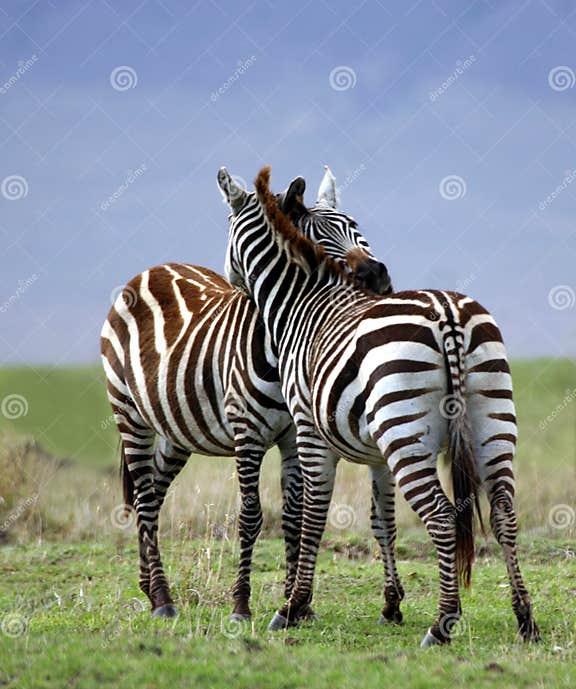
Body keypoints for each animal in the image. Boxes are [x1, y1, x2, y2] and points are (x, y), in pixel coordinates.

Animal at [100, 167, 391, 621]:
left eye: (355, 228)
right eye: (315, 237)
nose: (377, 276)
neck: (275, 341)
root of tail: (153, 269)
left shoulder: (293, 434)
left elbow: (293, 514)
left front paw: (297, 605)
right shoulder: (248, 434)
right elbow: (251, 515)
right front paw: (241, 603)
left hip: (176, 430)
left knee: (155, 492)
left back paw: (148, 587)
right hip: (128, 412)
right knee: (145, 498)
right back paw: (163, 599)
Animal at [218, 165, 541, 646]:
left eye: (354, 227)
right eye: (333, 231)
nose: (378, 275)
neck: (303, 301)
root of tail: (448, 314)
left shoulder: (309, 430)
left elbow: (313, 515)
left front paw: (291, 607)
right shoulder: (376, 452)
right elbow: (381, 520)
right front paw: (390, 606)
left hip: (406, 433)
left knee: (442, 516)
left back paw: (442, 624)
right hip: (490, 420)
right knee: (504, 513)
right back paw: (526, 620)